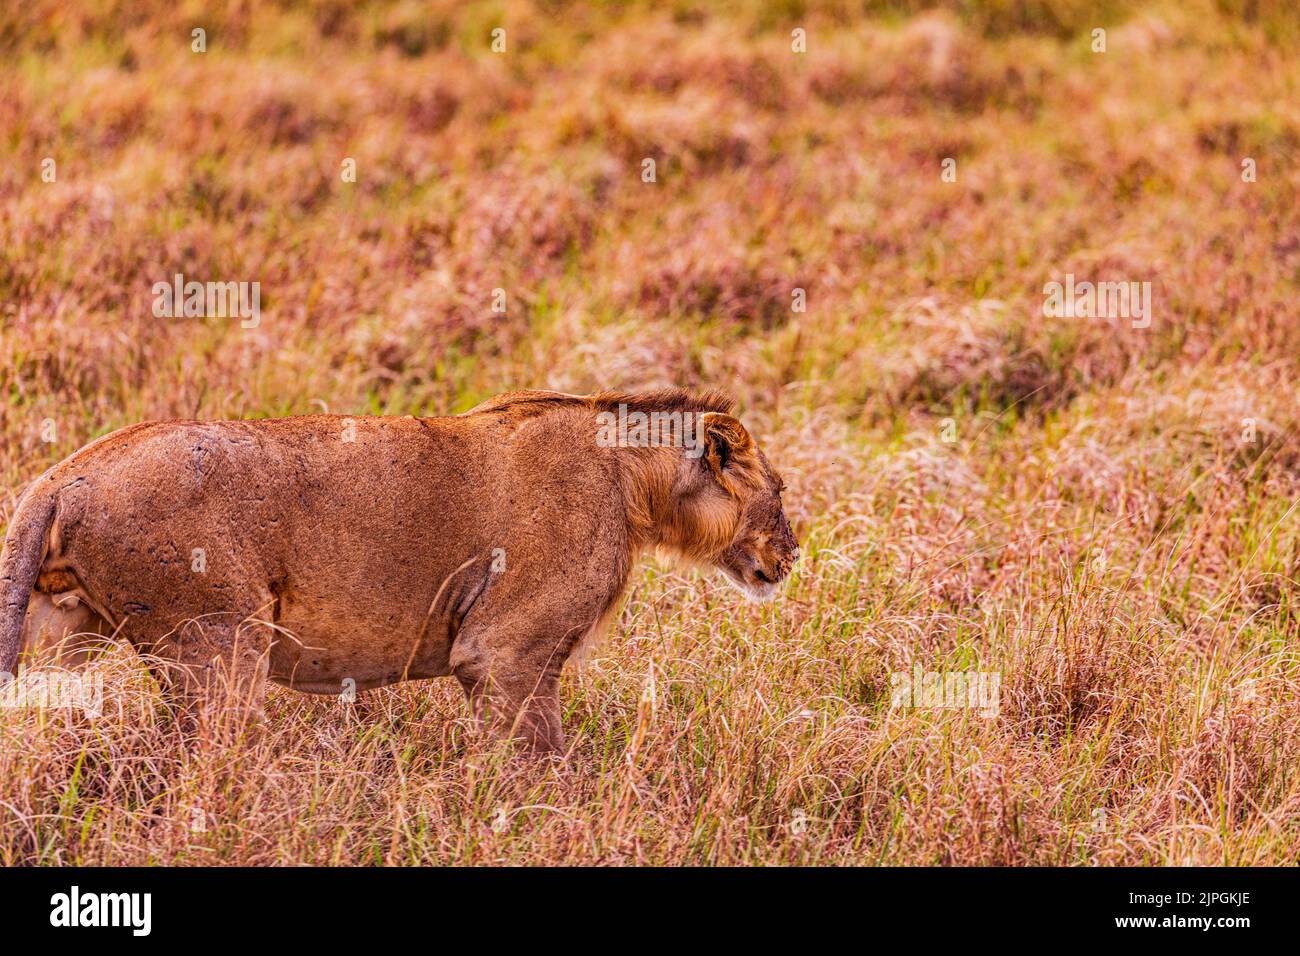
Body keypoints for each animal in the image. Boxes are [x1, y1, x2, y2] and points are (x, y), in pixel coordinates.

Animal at [0, 388, 798, 752]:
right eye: (784, 492)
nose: (793, 556)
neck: (632, 484)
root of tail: (62, 475)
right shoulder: (507, 651)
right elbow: (543, 757)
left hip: (51, 625)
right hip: (223, 644)